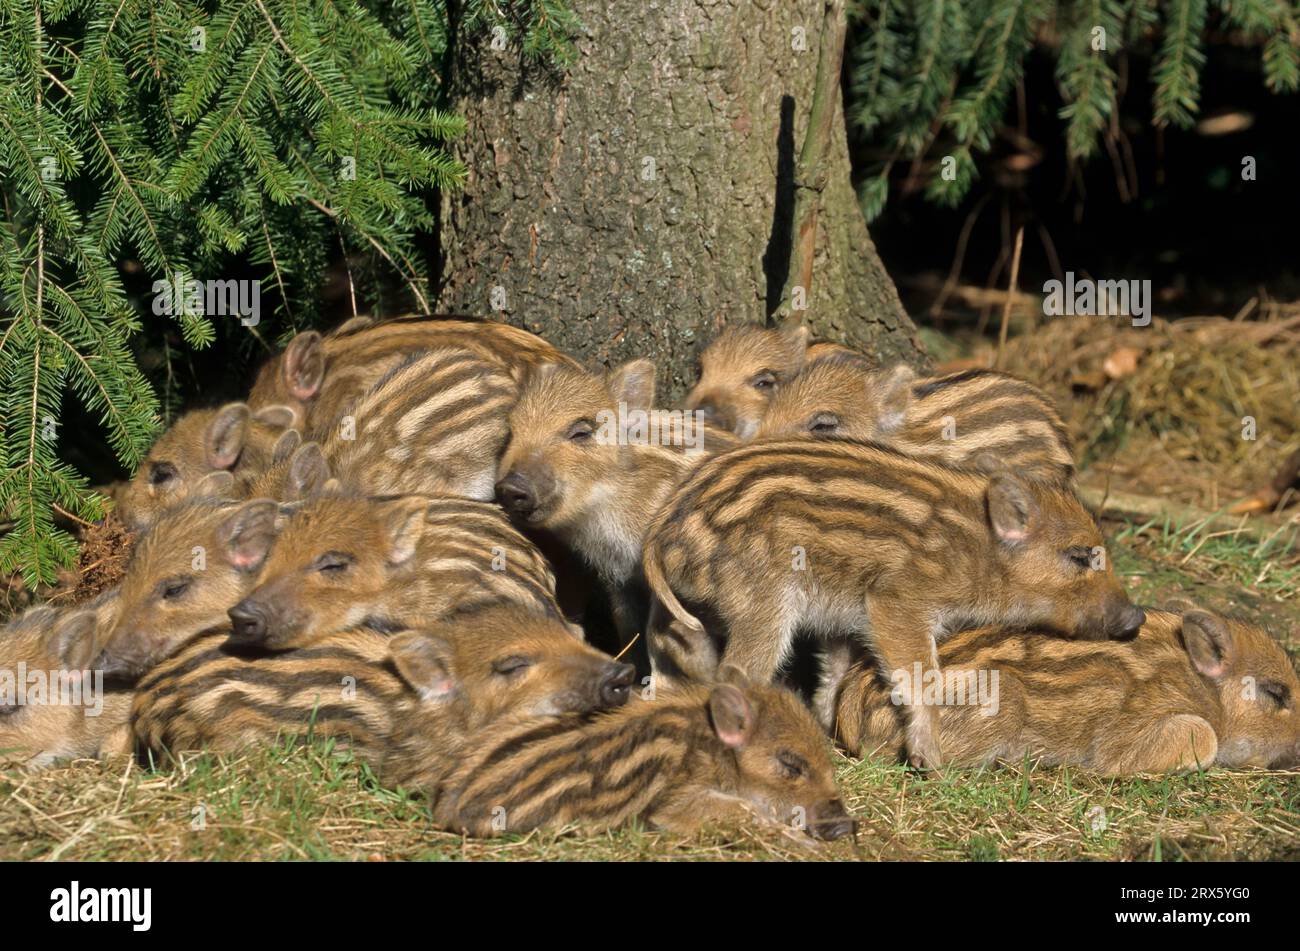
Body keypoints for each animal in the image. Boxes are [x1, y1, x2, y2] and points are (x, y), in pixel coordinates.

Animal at [432, 666, 855, 841]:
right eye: (791, 764)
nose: (847, 826)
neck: (715, 749)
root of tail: (446, 805)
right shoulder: (676, 803)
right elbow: (743, 809)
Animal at [642, 439, 1144, 769]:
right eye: (1079, 556)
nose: (1136, 617)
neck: (980, 551)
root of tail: (666, 531)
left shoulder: (845, 618)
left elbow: (836, 679)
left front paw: (835, 733)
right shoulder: (896, 601)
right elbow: (921, 679)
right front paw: (930, 762)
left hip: (697, 613)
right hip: (763, 600)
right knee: (736, 674)